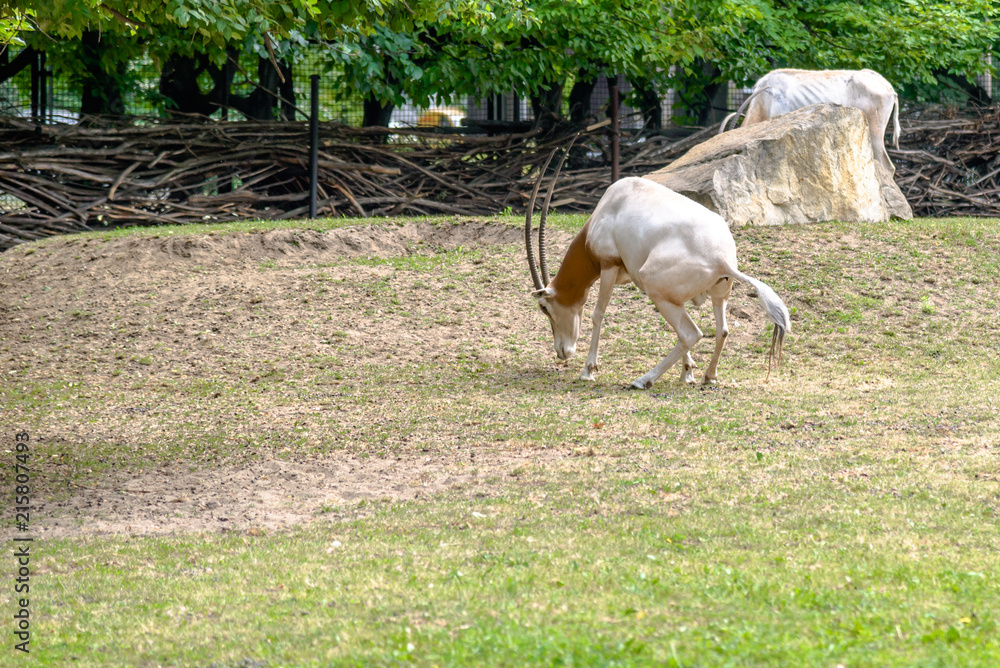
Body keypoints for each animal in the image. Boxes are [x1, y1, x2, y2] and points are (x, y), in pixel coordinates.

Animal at [525, 150, 791, 389]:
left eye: (544, 307)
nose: (562, 352)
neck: (609, 206)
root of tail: (722, 259)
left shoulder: (609, 265)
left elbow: (598, 314)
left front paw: (588, 370)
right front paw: (688, 373)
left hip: (653, 286)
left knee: (690, 333)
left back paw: (643, 380)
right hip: (712, 296)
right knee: (719, 331)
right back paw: (708, 376)